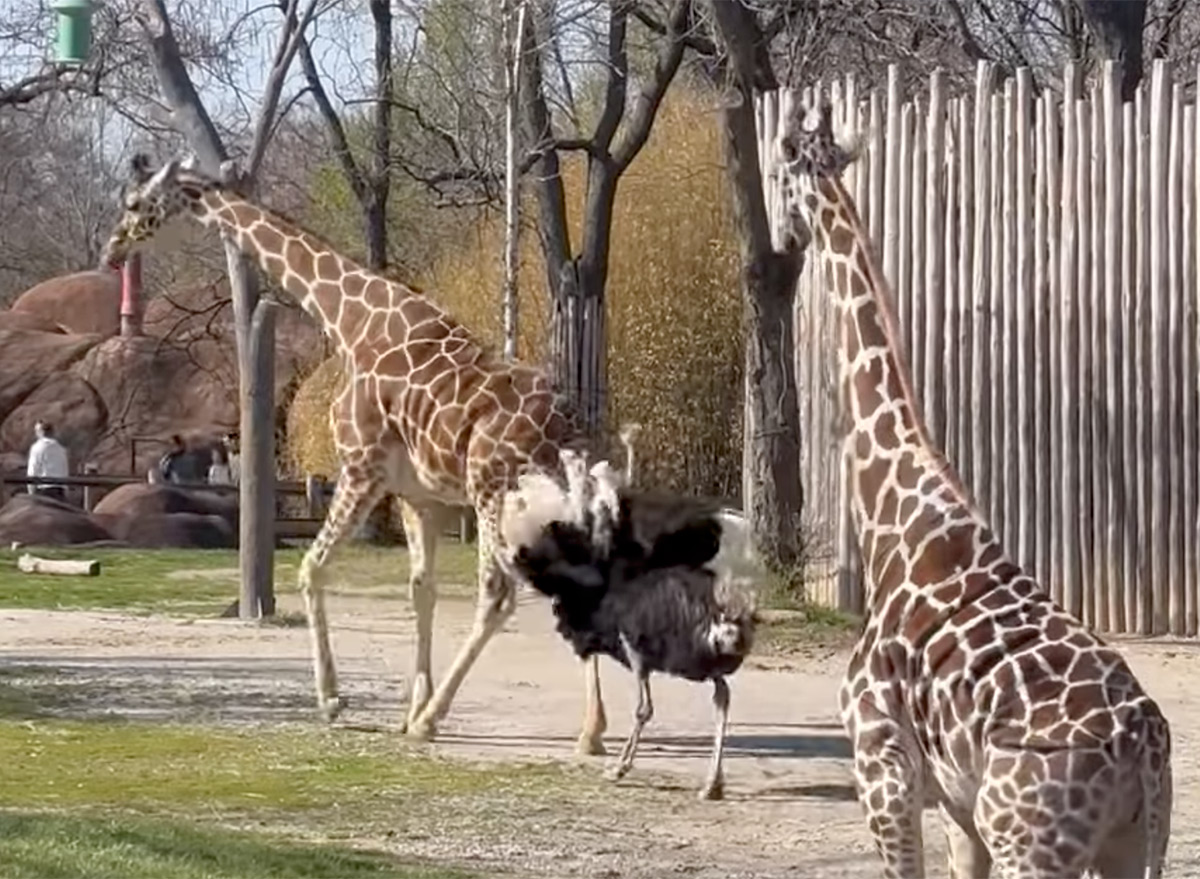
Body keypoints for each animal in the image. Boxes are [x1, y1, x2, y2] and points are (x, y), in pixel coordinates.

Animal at [100, 153, 610, 754]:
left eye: (135, 203)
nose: (112, 250)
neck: (350, 320)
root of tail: (568, 430)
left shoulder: (360, 468)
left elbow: (312, 569)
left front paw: (335, 701)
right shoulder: (418, 496)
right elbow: (421, 590)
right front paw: (406, 709)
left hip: (494, 491)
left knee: (498, 592)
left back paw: (439, 718)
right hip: (549, 498)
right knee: (580, 581)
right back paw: (590, 730)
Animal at [770, 102, 1172, 878]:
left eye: (776, 174)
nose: (782, 236)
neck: (895, 516)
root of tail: (1141, 740)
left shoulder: (883, 767)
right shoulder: (958, 810)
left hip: (1028, 840)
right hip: (1138, 843)